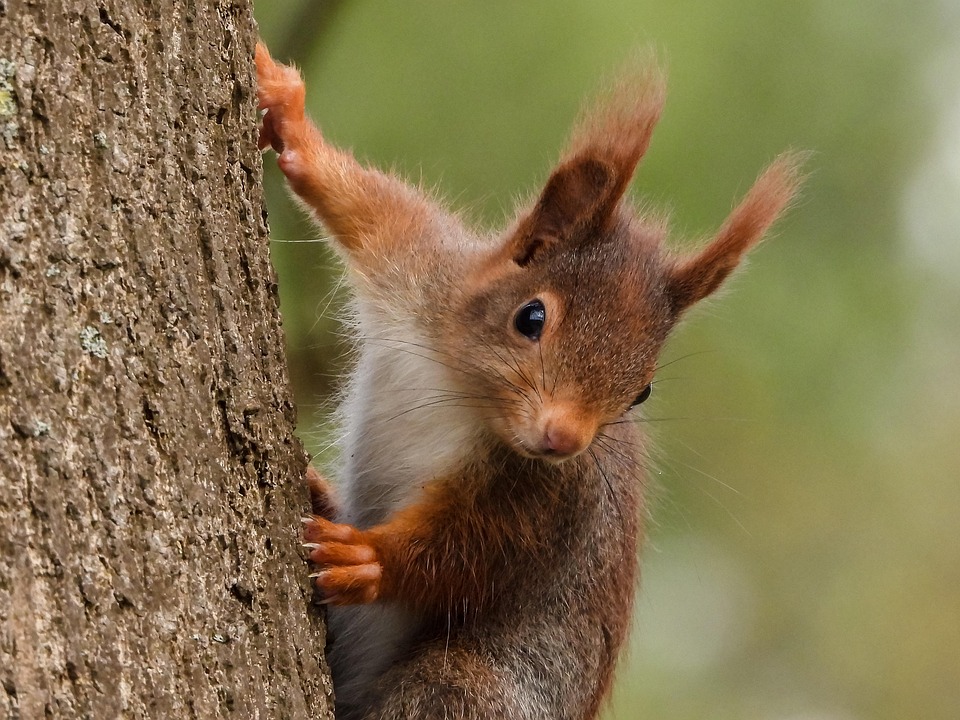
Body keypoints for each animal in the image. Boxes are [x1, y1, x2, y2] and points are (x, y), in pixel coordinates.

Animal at [256, 42, 802, 720]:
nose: (564, 439)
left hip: (467, 688)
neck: (463, 388)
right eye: (531, 317)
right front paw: (287, 112)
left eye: (642, 390)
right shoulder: (419, 266)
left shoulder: (548, 500)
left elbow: (470, 557)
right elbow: (363, 203)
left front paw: (369, 559)